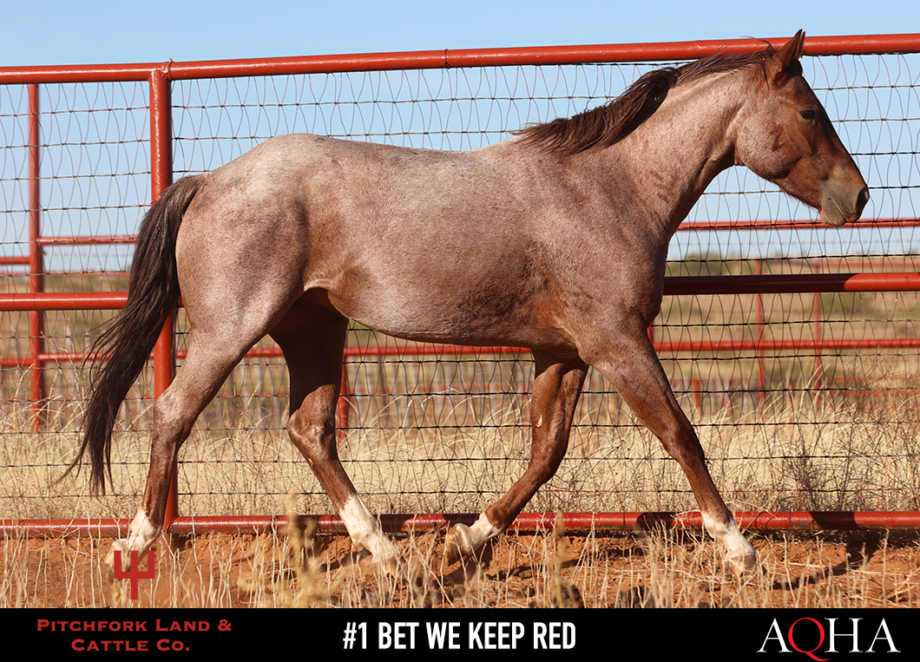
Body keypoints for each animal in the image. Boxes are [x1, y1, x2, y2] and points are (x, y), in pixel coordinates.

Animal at [66, 31, 867, 576]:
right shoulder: (616, 341)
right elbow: (679, 434)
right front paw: (741, 550)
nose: (857, 197)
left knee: (310, 431)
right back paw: (135, 545)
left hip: (314, 330)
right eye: (808, 111)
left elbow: (546, 453)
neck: (607, 191)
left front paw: (467, 539)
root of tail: (209, 179)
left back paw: (388, 553)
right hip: (232, 329)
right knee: (172, 416)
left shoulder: (564, 351)